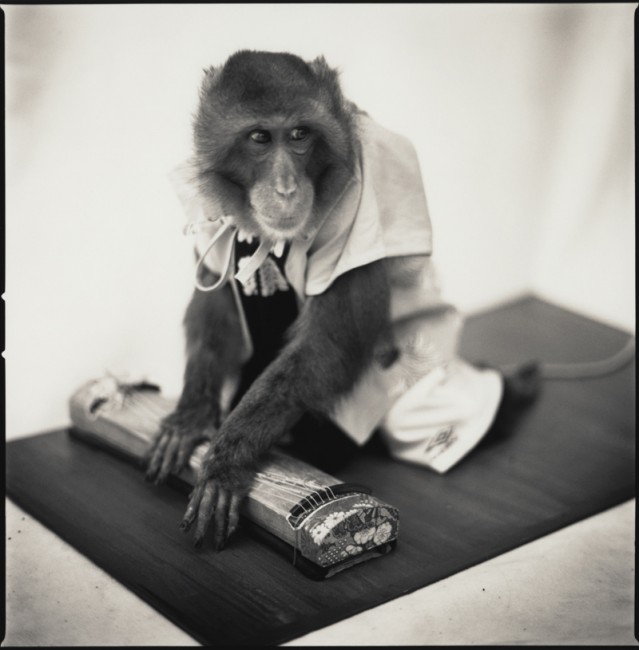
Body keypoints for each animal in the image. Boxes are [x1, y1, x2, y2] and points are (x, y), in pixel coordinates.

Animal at [145, 50, 539, 551]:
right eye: (259, 137)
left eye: (299, 135)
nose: (286, 187)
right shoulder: (210, 211)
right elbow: (217, 306)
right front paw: (193, 414)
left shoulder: (363, 208)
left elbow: (328, 346)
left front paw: (230, 456)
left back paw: (514, 391)